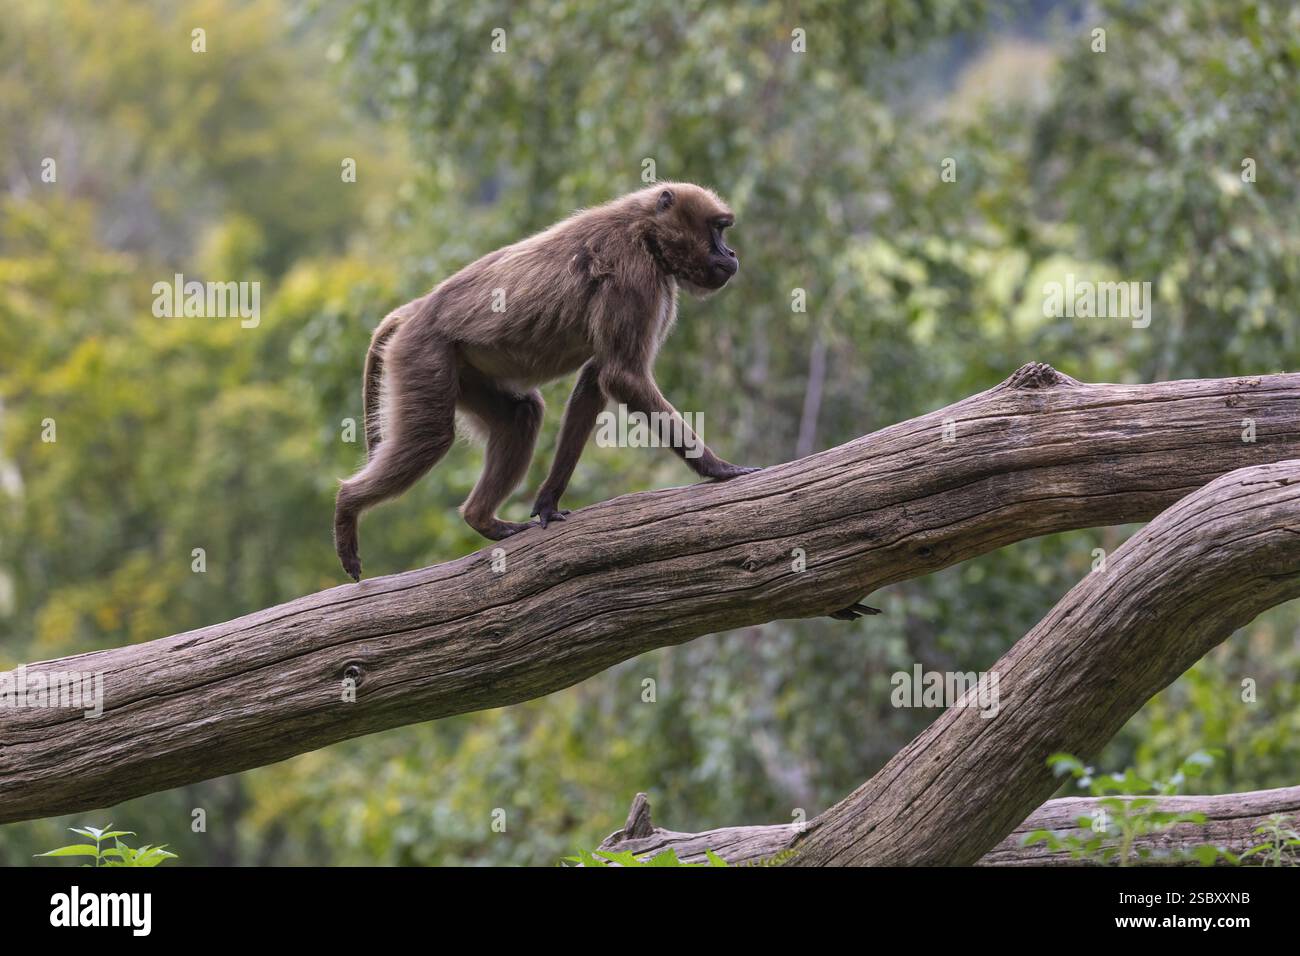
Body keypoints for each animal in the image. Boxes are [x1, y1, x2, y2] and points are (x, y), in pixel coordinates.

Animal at [333, 182, 761, 582]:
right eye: (718, 229)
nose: (732, 255)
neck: (645, 231)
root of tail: (417, 310)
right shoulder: (633, 274)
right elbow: (621, 376)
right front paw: (718, 468)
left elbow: (598, 377)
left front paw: (547, 503)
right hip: (424, 353)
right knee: (432, 437)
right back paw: (348, 504)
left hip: (462, 368)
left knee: (521, 414)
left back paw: (481, 519)